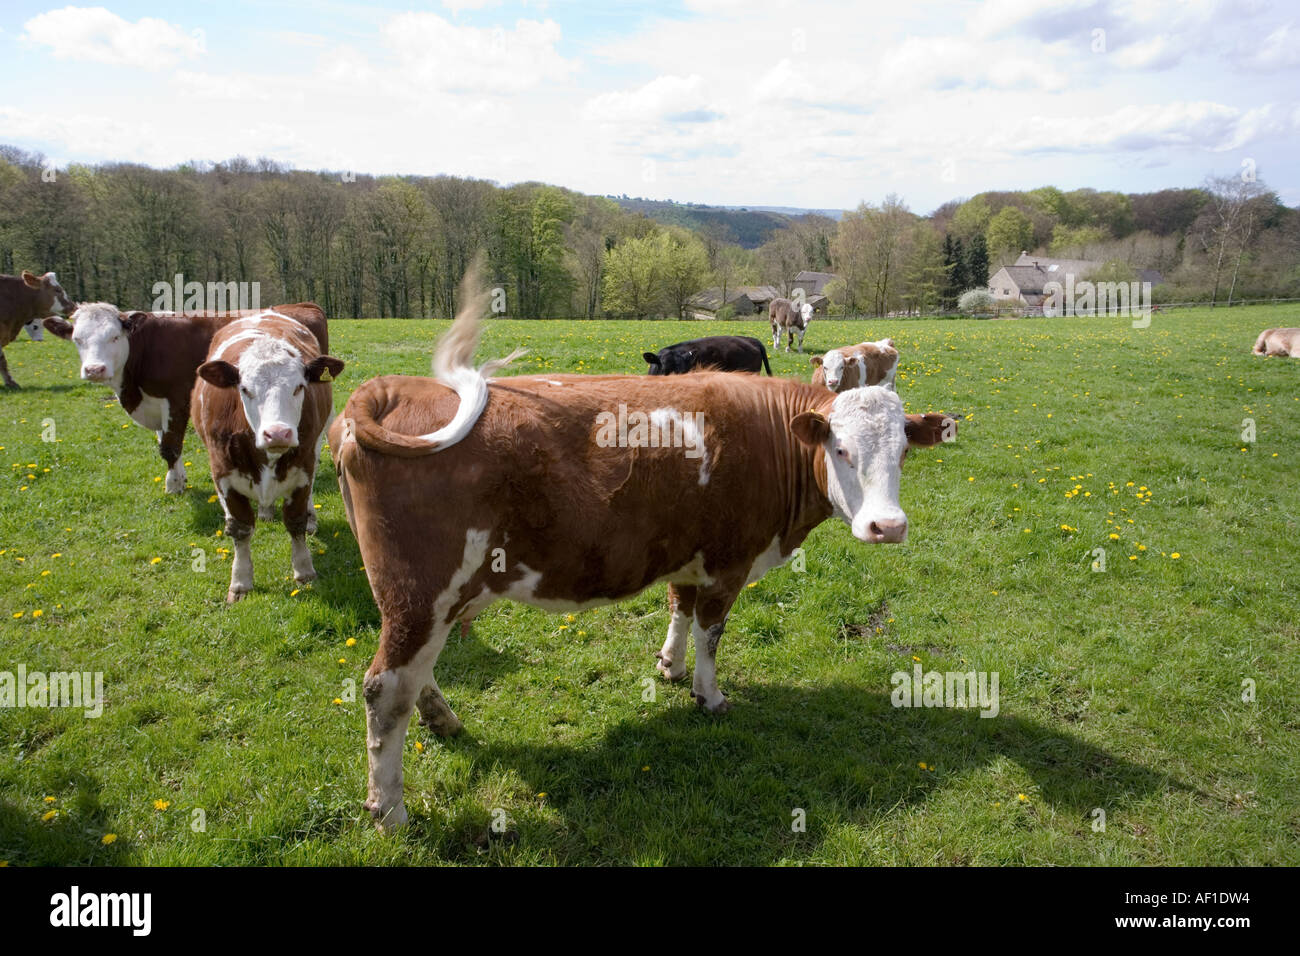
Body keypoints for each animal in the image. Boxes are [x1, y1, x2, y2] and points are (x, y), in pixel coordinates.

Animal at [45, 302, 327, 498]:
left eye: (114, 337)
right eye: (77, 339)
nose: (95, 370)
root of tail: (300, 305)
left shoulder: (176, 400)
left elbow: (170, 446)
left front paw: (173, 485)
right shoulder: (157, 404)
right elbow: (164, 442)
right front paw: (179, 477)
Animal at [193, 310, 343, 603]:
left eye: (299, 387)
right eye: (245, 389)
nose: (278, 434)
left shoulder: (303, 467)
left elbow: (295, 521)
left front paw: (304, 570)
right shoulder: (222, 474)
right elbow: (239, 528)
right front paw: (240, 582)